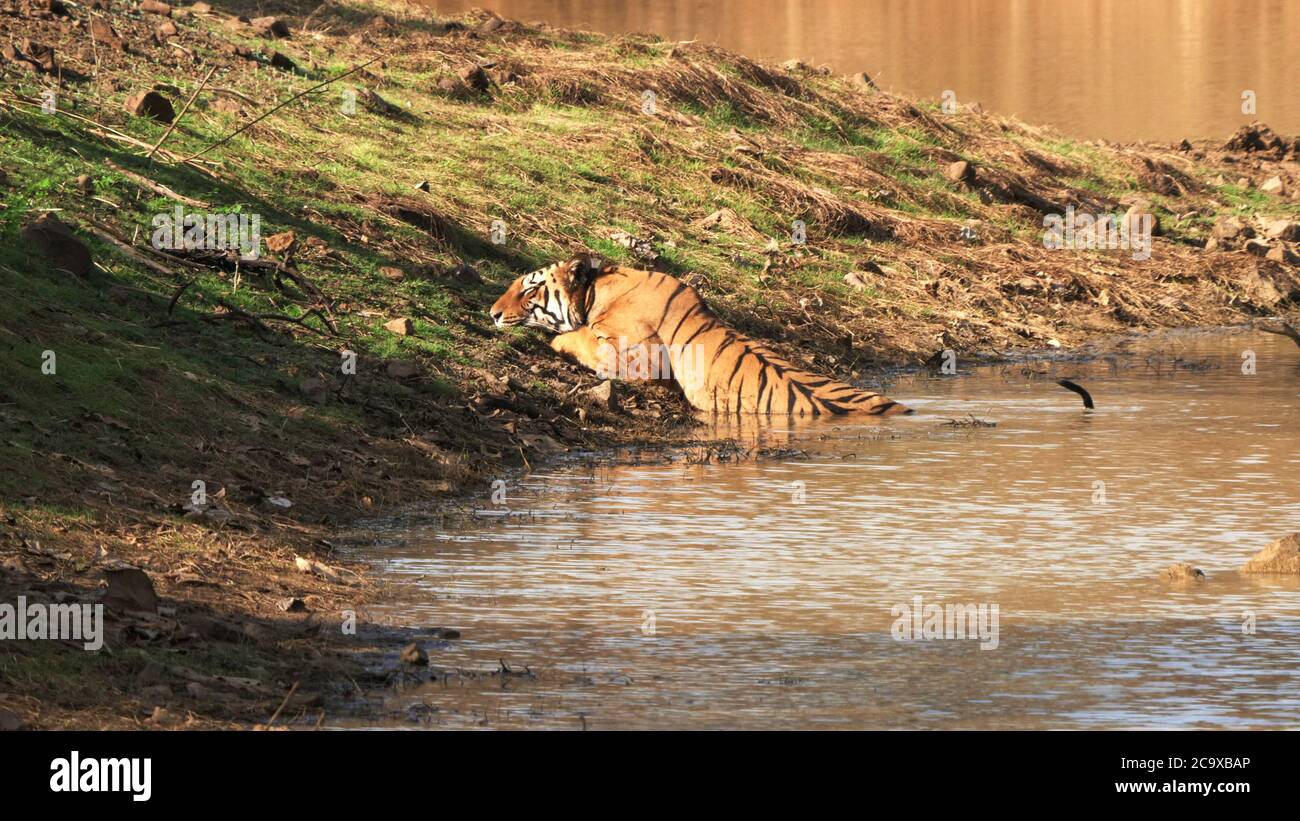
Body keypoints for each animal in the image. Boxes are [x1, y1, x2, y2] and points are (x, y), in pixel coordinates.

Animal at [489, 255, 912, 416]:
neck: (597, 290)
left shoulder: (639, 357)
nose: (492, 313)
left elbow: (578, 338)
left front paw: (558, 338)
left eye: (529, 289)